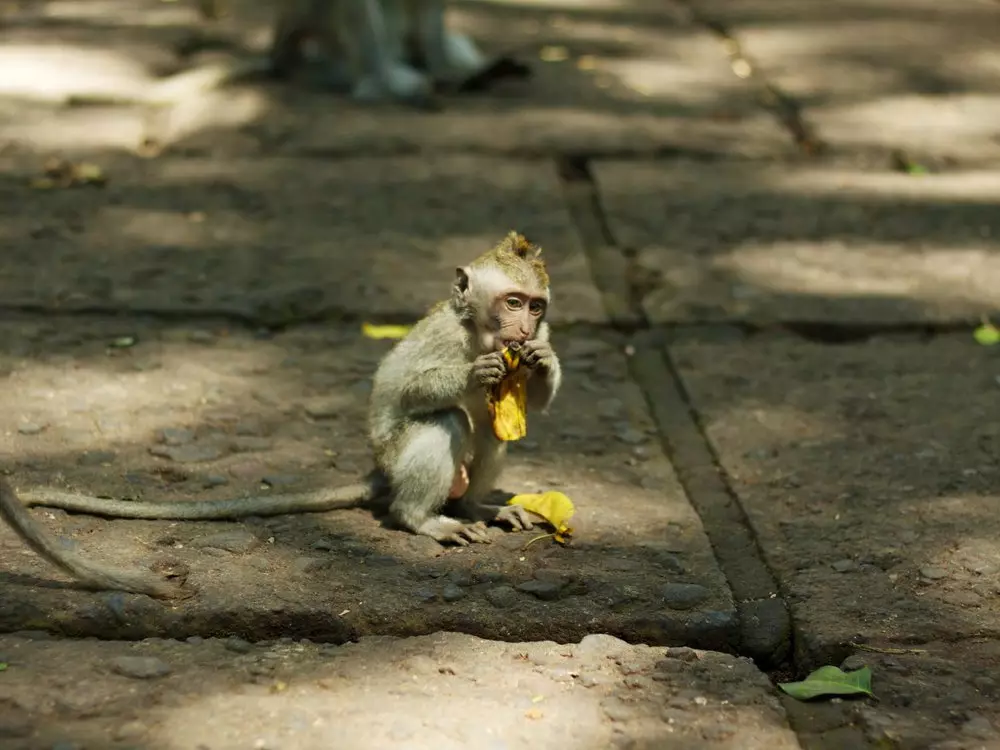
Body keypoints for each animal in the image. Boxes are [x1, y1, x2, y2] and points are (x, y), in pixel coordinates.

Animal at [0, 232, 560, 596]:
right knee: (450, 421)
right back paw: (422, 518)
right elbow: (401, 387)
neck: (482, 336)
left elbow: (530, 401)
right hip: (396, 457)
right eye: (512, 301)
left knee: (494, 430)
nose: (523, 331)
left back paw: (475, 506)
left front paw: (544, 365)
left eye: (536, 307)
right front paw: (473, 375)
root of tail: (380, 472)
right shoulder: (445, 335)